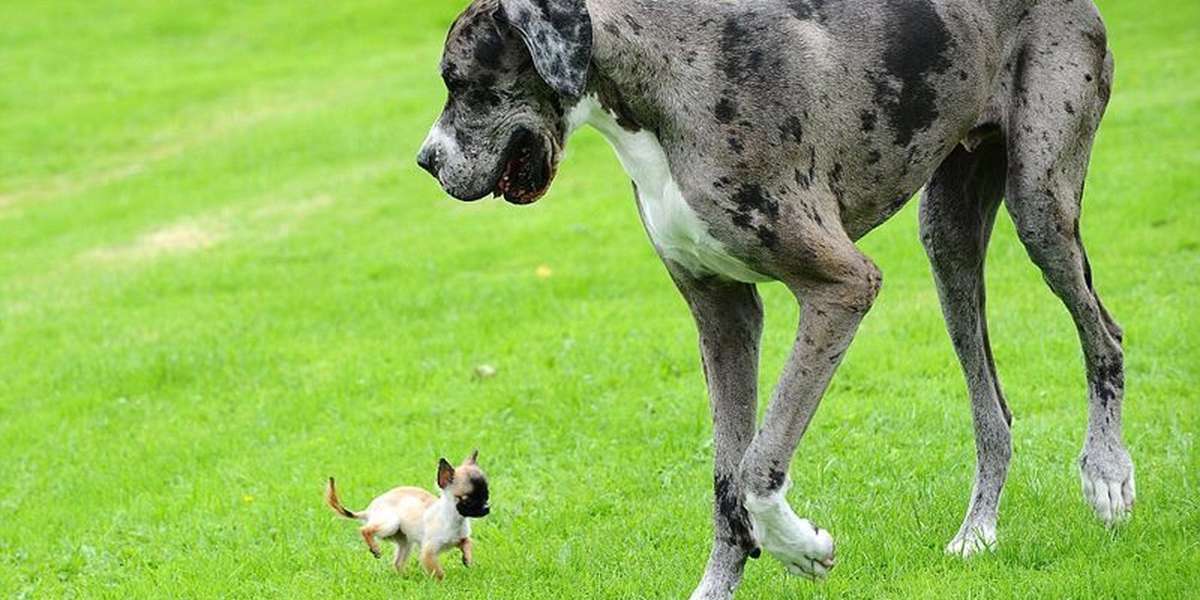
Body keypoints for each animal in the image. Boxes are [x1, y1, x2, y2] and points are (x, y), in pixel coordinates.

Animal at [326, 451, 489, 578]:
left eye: (486, 495)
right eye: (468, 499)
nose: (487, 507)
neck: (455, 519)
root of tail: (369, 511)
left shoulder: (461, 539)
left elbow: (468, 542)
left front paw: (467, 559)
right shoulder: (428, 553)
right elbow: (438, 573)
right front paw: (442, 585)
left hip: (405, 542)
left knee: (397, 563)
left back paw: (404, 578)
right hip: (391, 524)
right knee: (365, 530)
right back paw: (375, 548)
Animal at [417, 0, 1128, 595]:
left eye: (461, 81)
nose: (425, 161)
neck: (657, 91)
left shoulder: (843, 286)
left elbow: (759, 466)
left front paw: (799, 546)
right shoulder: (723, 315)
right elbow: (726, 480)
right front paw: (719, 584)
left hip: (1039, 205)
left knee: (1105, 335)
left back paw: (1108, 472)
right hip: (947, 242)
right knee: (994, 412)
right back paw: (978, 532)